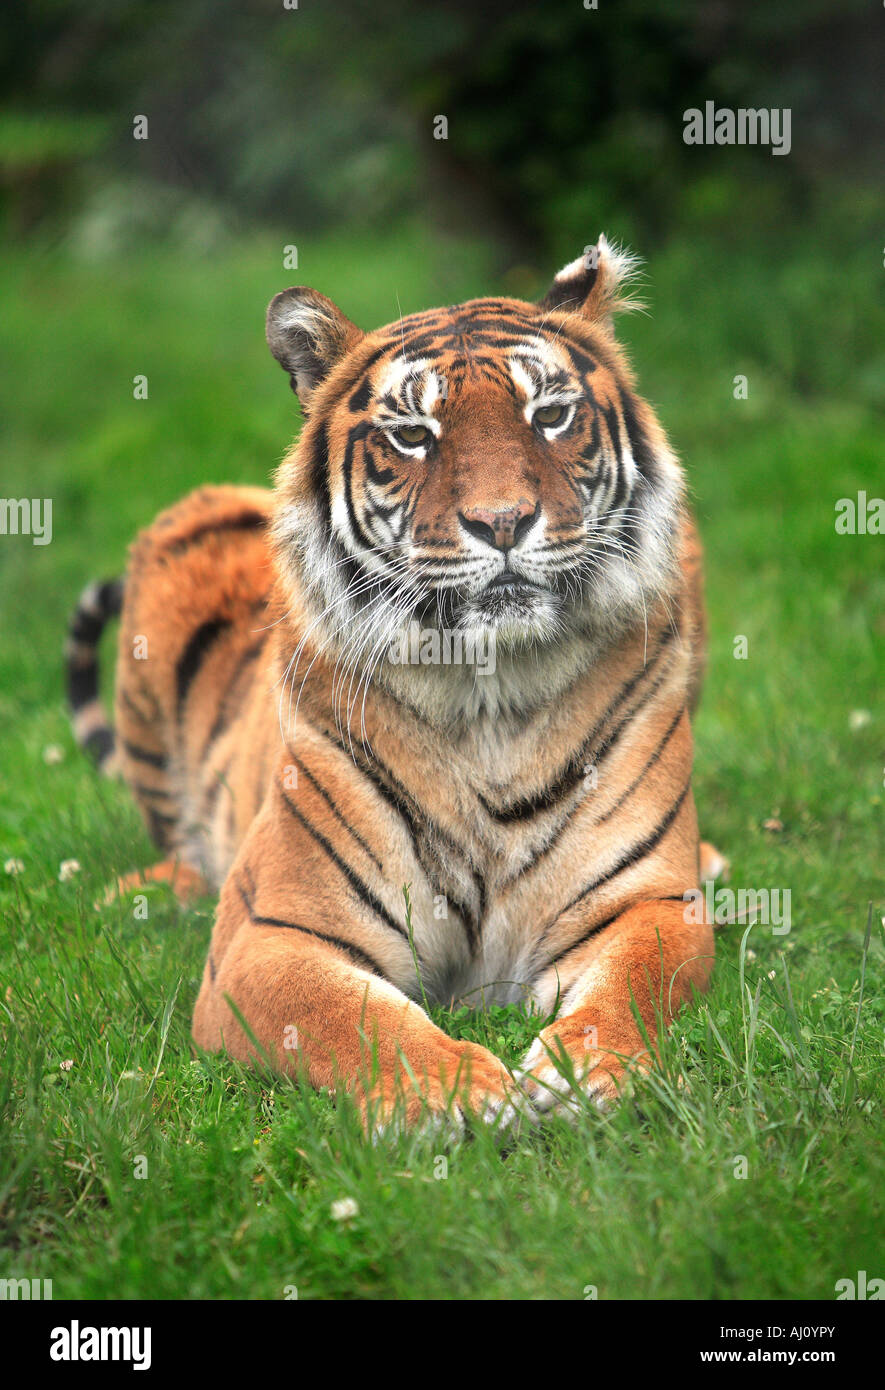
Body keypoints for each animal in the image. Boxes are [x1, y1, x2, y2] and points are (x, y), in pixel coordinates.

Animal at [66, 234, 720, 1132]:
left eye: (549, 416)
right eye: (413, 434)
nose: (503, 522)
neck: (489, 696)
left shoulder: (647, 903)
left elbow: (637, 980)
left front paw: (588, 1070)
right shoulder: (271, 936)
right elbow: (346, 1016)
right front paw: (460, 1090)